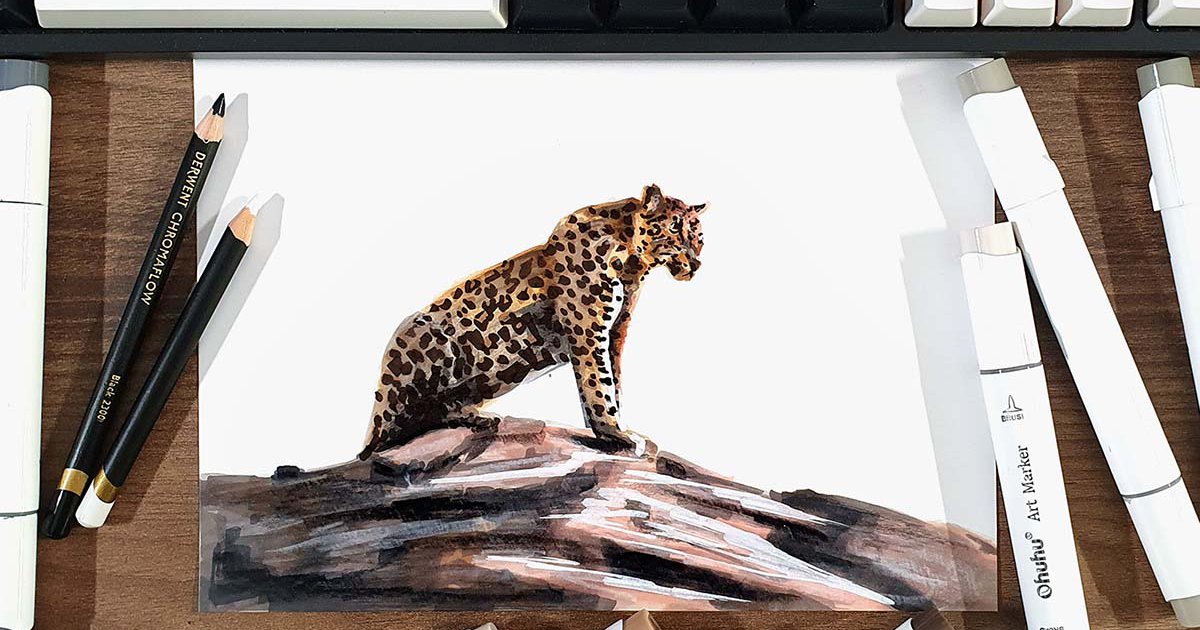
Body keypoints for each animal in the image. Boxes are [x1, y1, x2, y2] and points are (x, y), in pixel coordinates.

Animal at [358, 184, 706, 459]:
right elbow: (599, 385)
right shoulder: (588, 331)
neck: (633, 264)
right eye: (675, 230)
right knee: (388, 435)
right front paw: (615, 433)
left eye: (700, 238)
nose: (696, 264)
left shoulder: (615, 332)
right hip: (421, 343)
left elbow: (615, 381)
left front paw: (621, 428)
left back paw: (478, 418)